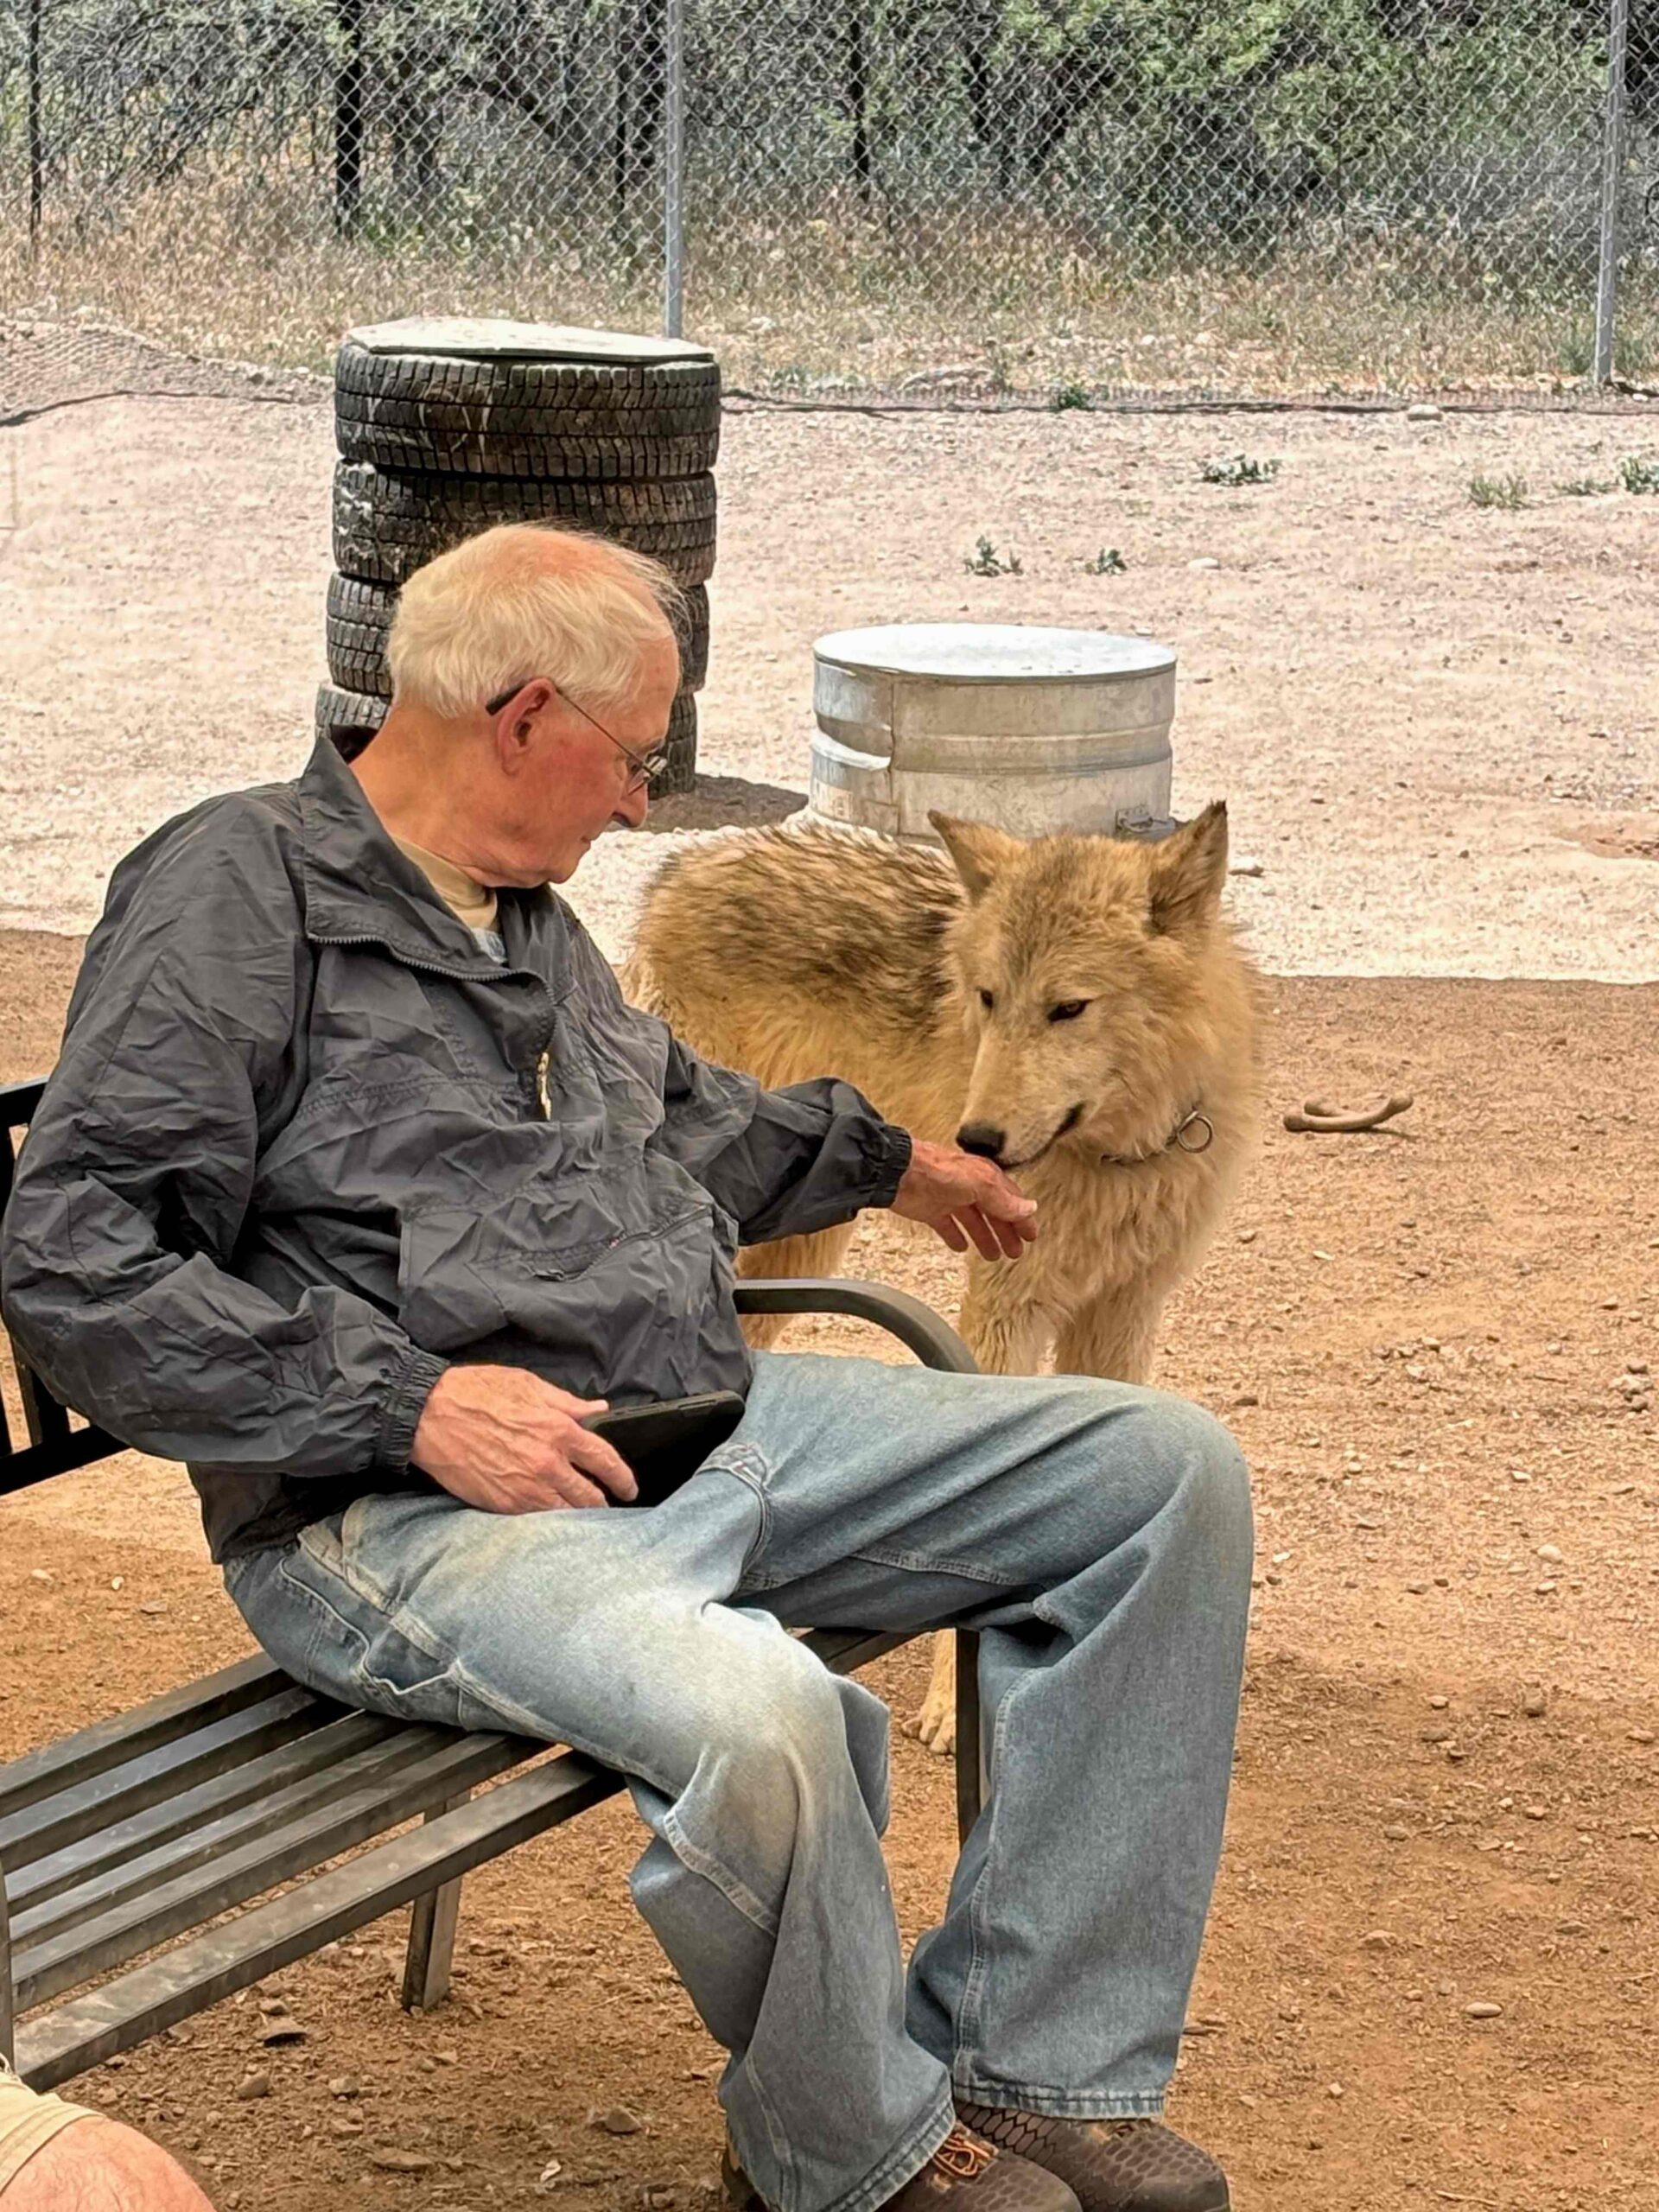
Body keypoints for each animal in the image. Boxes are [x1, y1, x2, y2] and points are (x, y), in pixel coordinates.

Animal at [623, 802, 1263, 1751]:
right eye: (987, 999)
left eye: (1068, 1008)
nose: (976, 1143)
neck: (1117, 1154)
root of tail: (679, 867)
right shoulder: (1005, 1304)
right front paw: (949, 1705)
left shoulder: (1126, 1307)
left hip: (801, 1250)